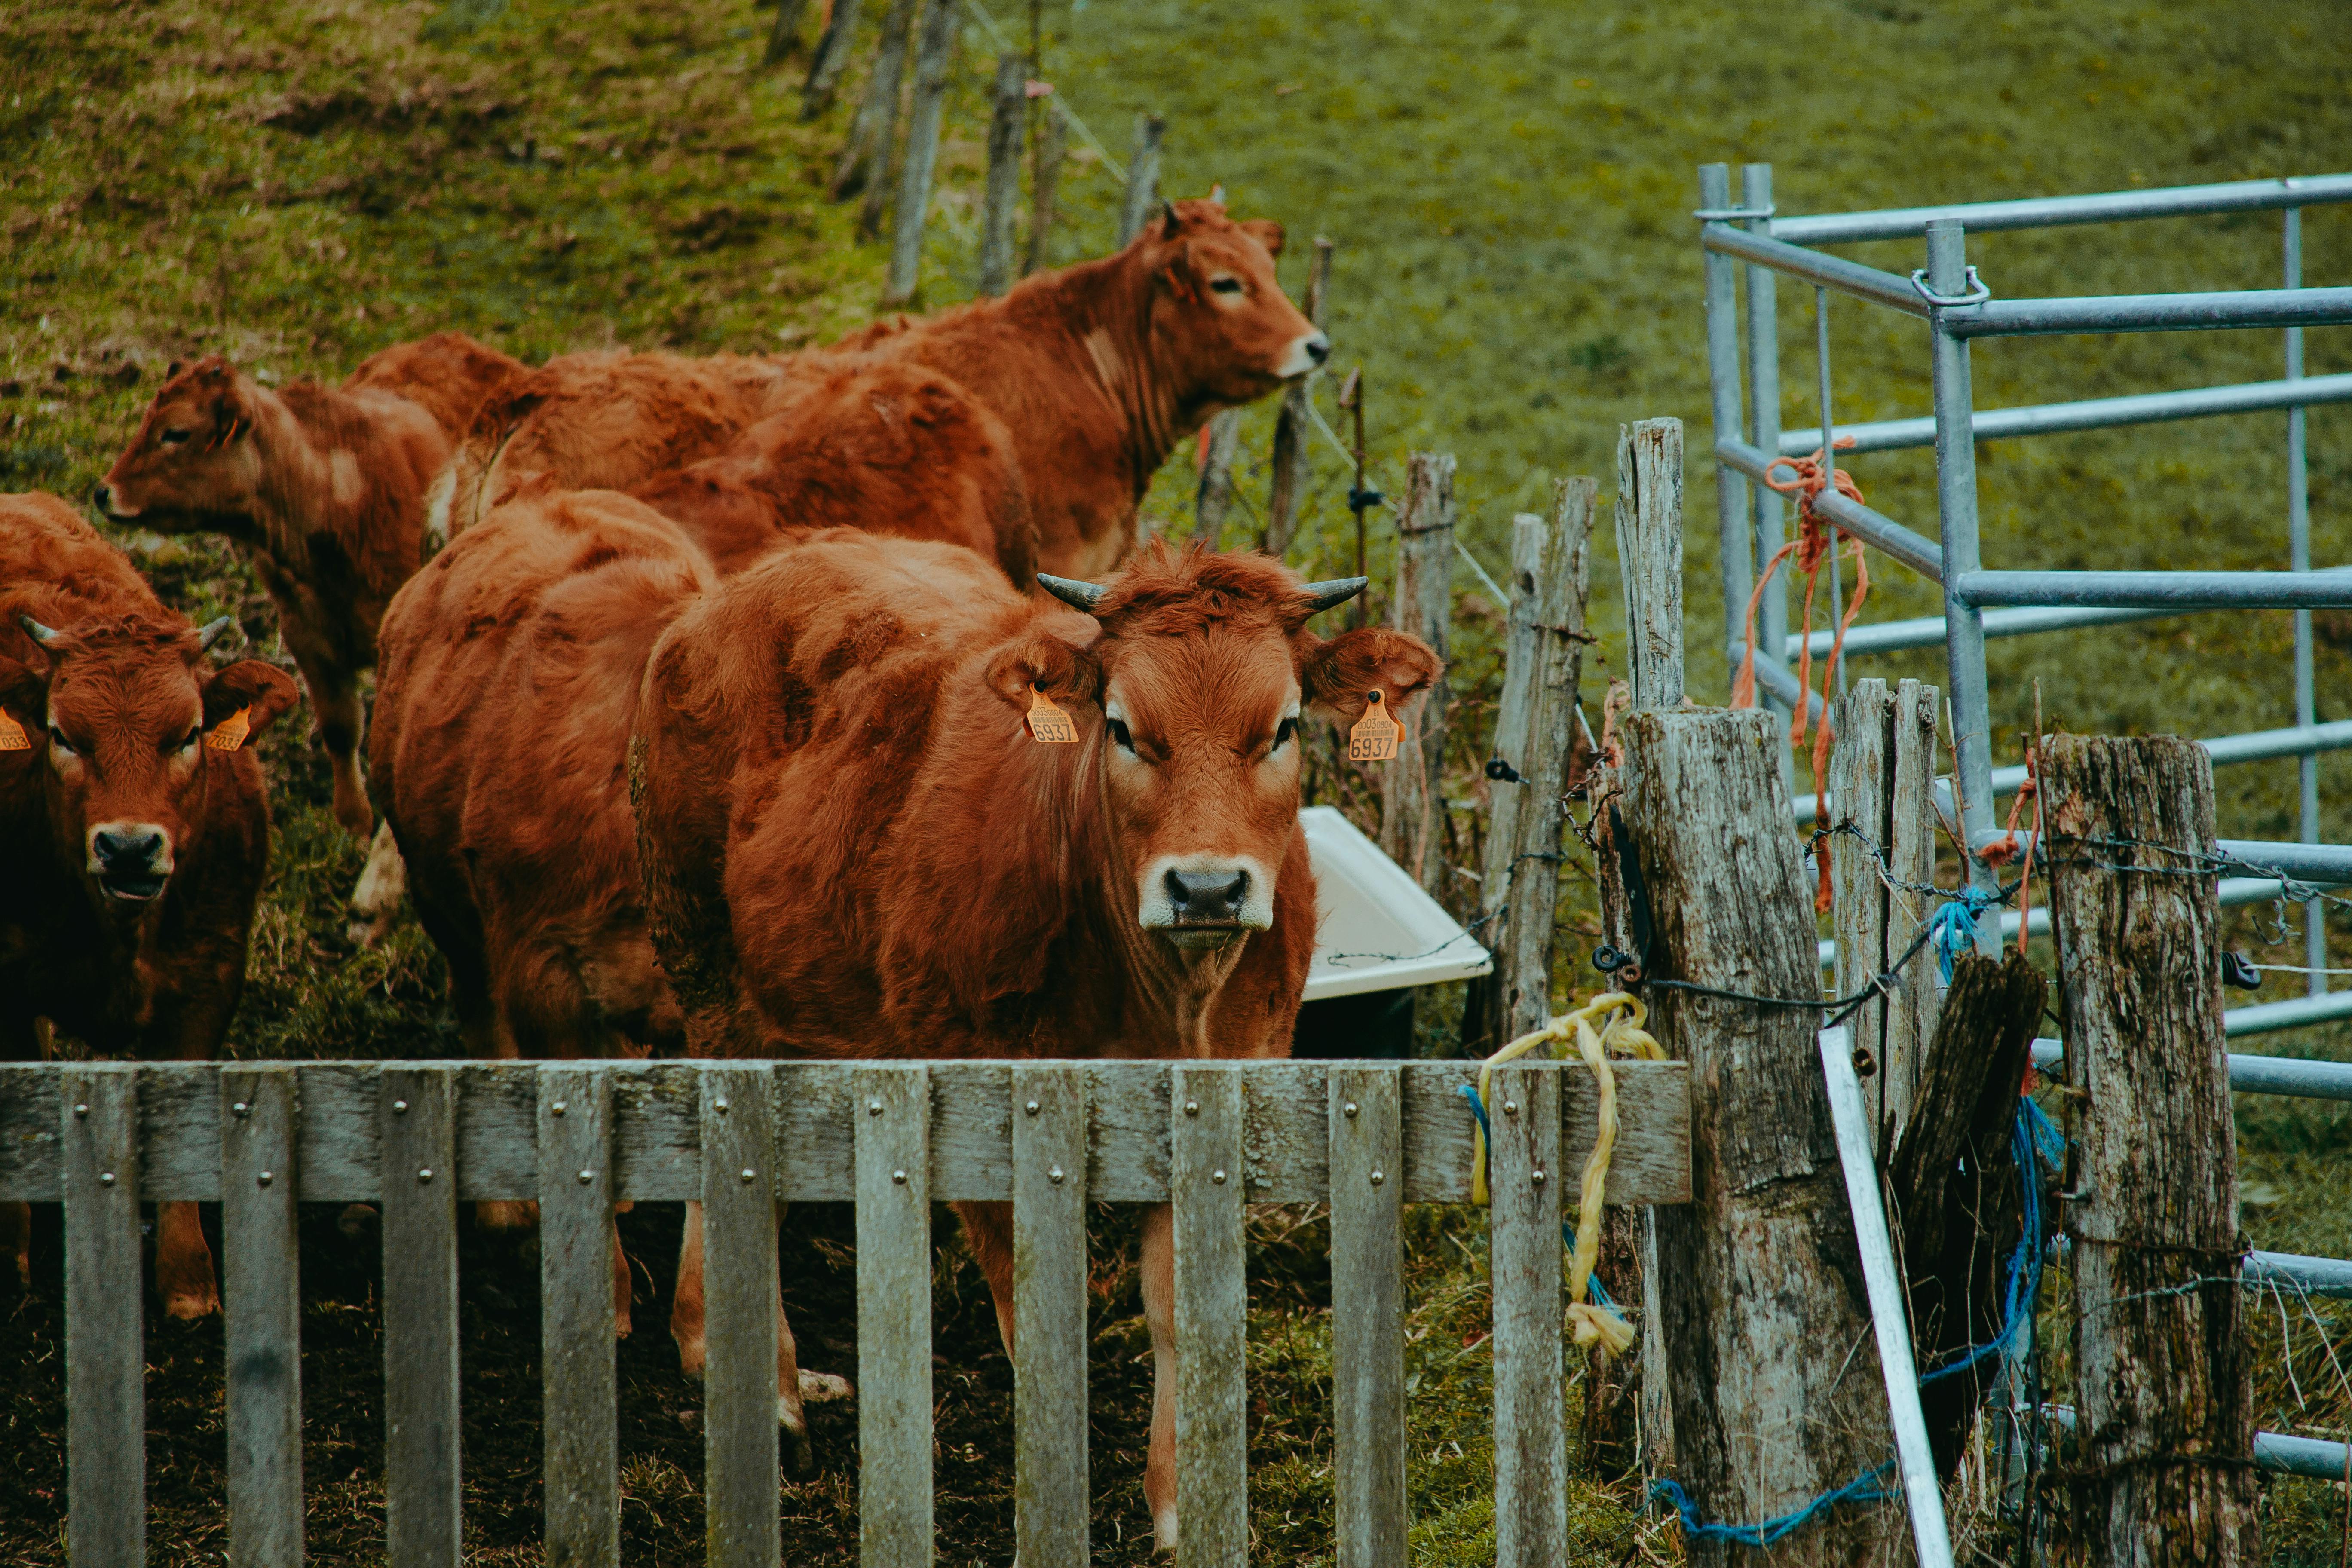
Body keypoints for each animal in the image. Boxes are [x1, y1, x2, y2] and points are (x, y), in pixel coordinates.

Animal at [0, 491, 300, 1316]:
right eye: (64, 734)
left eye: (190, 732)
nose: (130, 847)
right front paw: (13, 1263)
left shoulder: (211, 972)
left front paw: (189, 1280)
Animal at [94, 333, 527, 947]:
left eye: (176, 432)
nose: (103, 492)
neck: (334, 496)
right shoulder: (307, 634)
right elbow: (341, 729)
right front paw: (353, 822)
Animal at [632, 536, 1438, 1548]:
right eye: (1124, 728)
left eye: (1284, 726)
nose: (1206, 888)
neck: (1160, 1000)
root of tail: (744, 586)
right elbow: (1038, 1320)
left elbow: (1179, 1313)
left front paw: (1179, 1510)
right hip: (704, 964)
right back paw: (763, 1389)